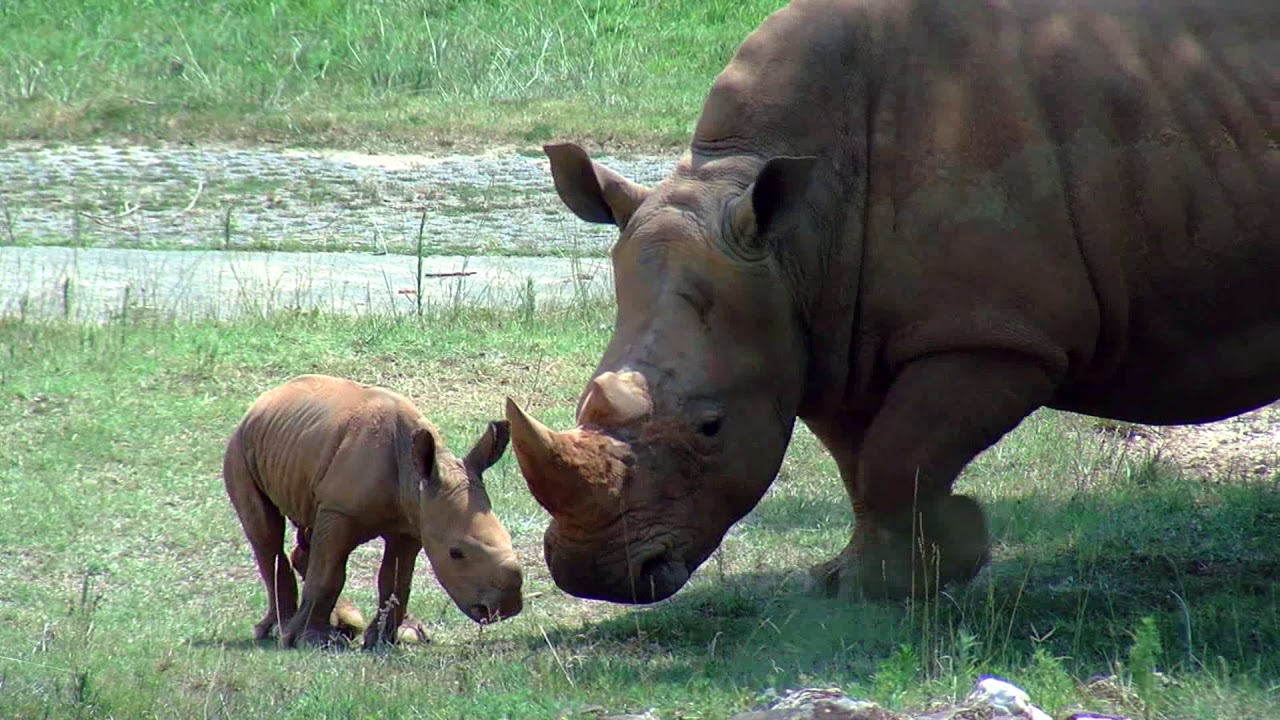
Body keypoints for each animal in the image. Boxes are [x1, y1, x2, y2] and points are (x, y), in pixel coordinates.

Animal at [223, 374, 523, 647]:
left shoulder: (413, 521)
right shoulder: (340, 511)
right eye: (456, 553)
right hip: (240, 446)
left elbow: (396, 580)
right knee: (265, 533)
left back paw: (350, 625)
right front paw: (314, 641)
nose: (505, 609)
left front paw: (387, 639)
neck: (418, 480)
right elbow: (329, 574)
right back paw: (281, 630)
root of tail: (264, 400)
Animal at [505, 0, 1278, 604]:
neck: (793, 240)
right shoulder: (820, 334)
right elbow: (861, 460)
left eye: (710, 428)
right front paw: (858, 581)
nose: (592, 576)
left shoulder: (995, 334)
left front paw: (943, 556)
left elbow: (895, 456)